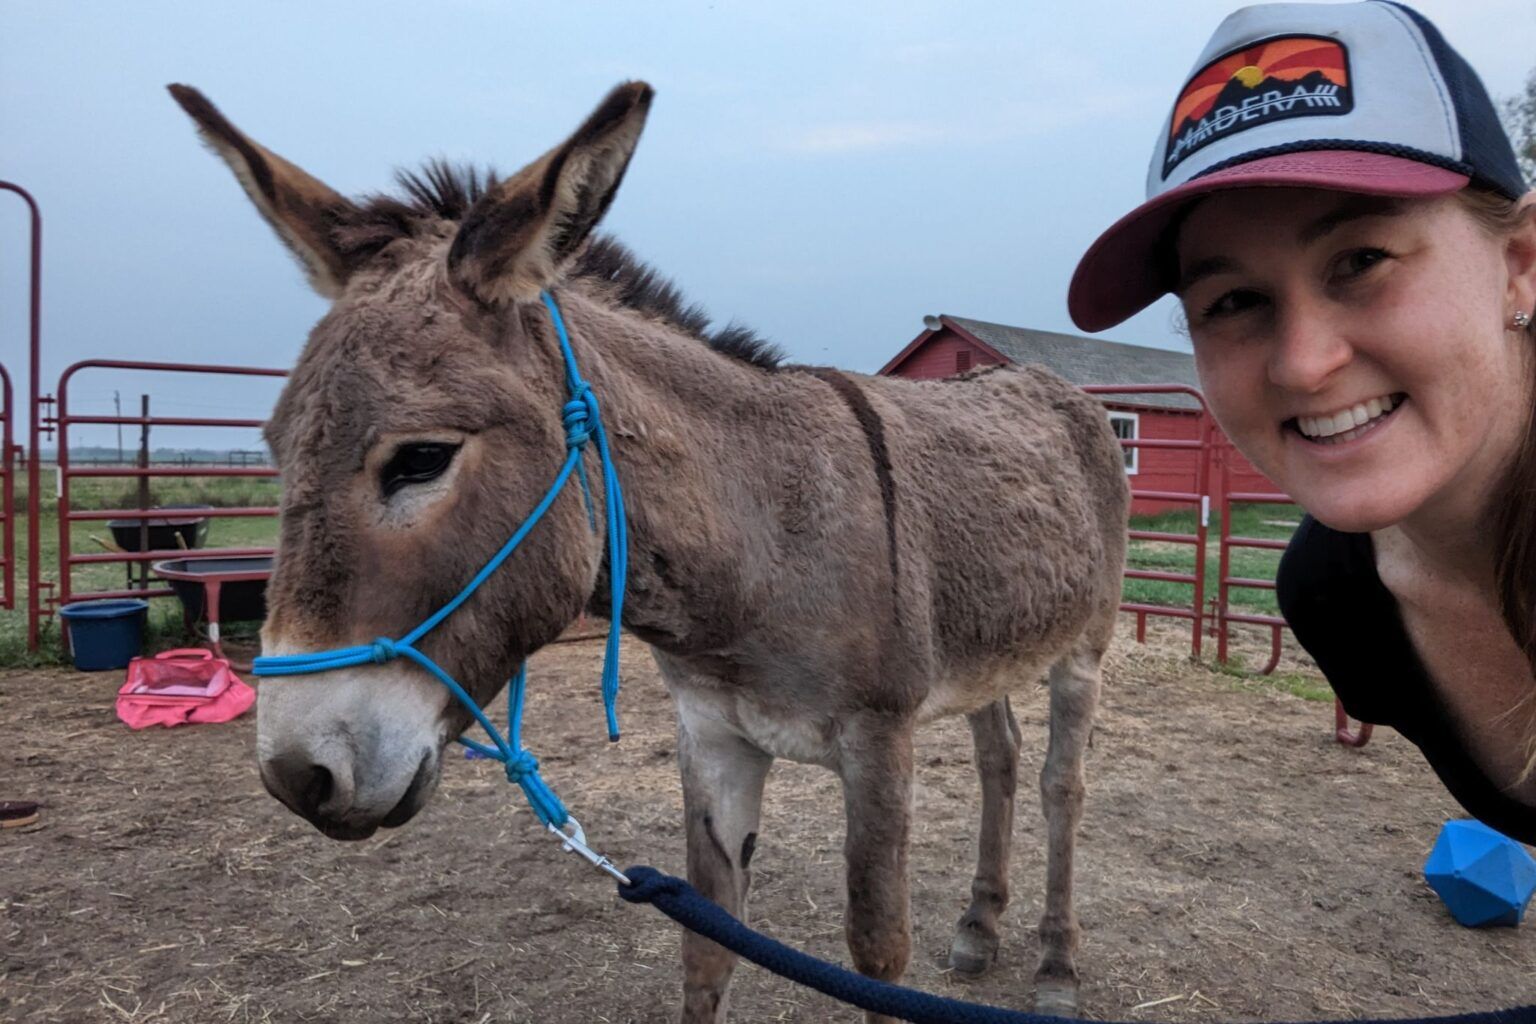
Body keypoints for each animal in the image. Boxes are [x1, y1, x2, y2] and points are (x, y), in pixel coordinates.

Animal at [170, 80, 1129, 1021]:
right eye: (273, 448)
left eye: (420, 459)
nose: (296, 775)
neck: (764, 541)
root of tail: (1050, 385)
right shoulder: (713, 738)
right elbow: (707, 946)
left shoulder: (878, 742)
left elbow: (876, 958)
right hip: (988, 646)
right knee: (1001, 758)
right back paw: (978, 928)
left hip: (1081, 648)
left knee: (1062, 783)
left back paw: (1057, 963)